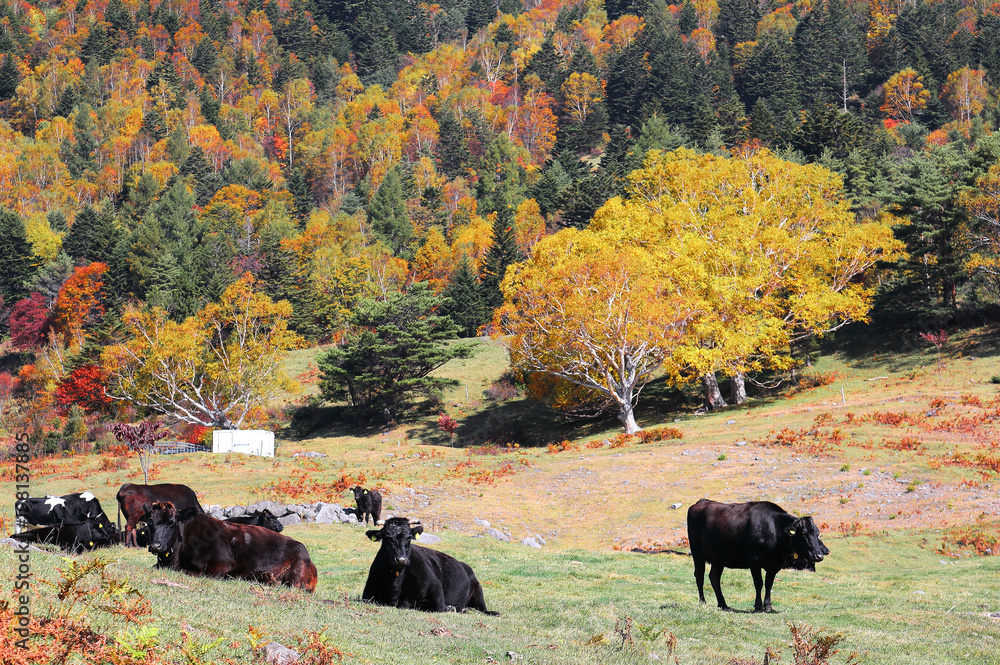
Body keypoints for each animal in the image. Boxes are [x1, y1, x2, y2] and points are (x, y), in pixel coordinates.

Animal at [144, 502, 317, 592]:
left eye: (171, 523)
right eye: (149, 523)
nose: (155, 545)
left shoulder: (220, 565)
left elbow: (191, 572)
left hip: (296, 578)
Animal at [362, 517, 499, 615]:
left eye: (409, 538)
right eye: (388, 537)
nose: (401, 560)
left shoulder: (435, 586)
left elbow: (438, 607)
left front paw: (451, 608)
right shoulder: (367, 595)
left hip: (478, 589)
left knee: (483, 609)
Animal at [687, 499, 830, 613]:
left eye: (817, 533)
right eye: (804, 533)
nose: (819, 555)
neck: (773, 529)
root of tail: (701, 502)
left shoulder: (774, 565)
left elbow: (768, 584)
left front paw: (768, 606)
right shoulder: (754, 560)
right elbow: (758, 583)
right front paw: (758, 606)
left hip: (718, 558)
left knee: (714, 577)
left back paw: (723, 604)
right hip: (697, 553)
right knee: (699, 576)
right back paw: (703, 602)